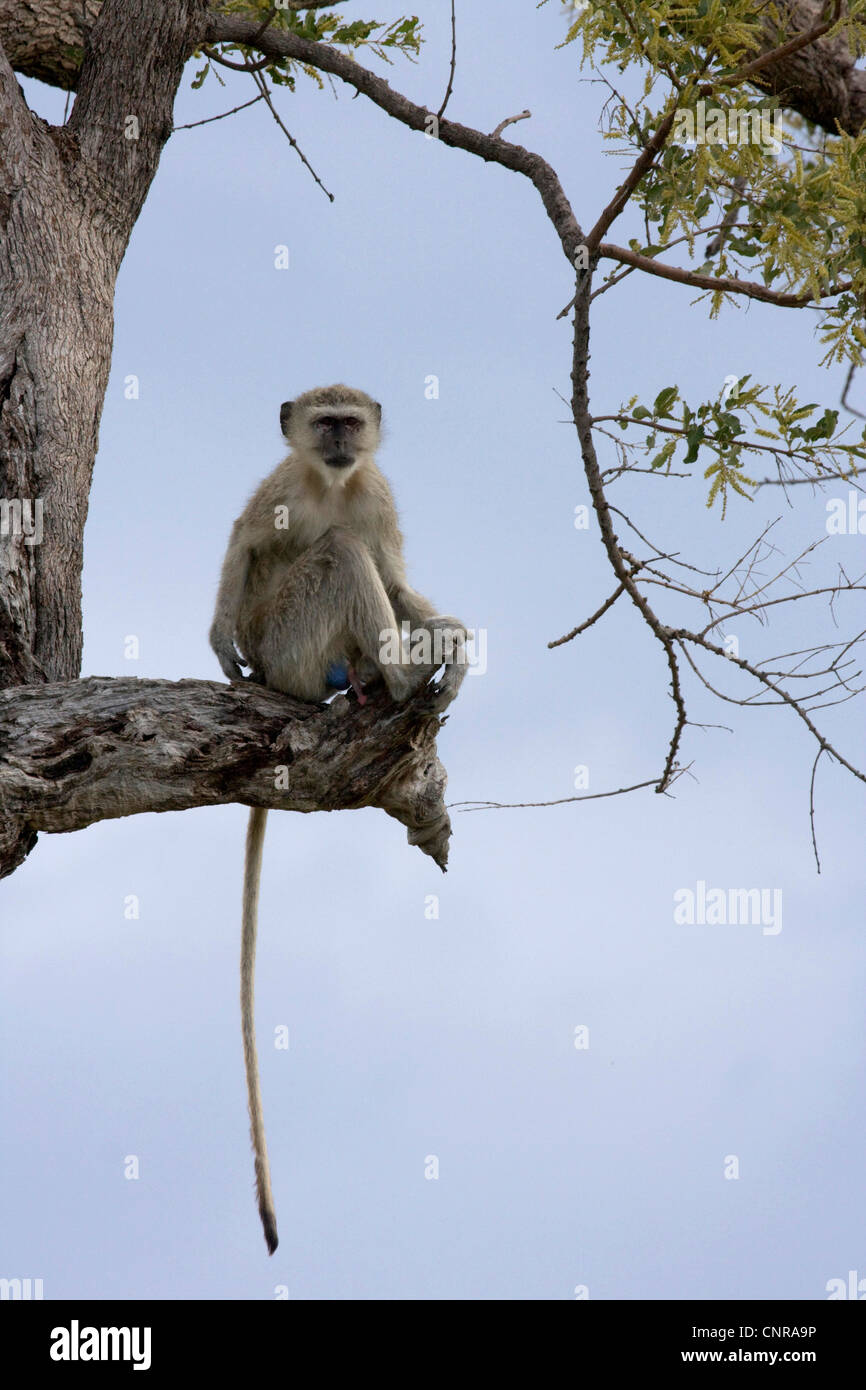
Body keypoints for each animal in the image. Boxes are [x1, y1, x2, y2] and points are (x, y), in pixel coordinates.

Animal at [208, 385, 466, 1253]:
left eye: (350, 423)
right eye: (326, 423)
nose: (341, 441)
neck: (329, 482)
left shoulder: (374, 494)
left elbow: (393, 573)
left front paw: (444, 626)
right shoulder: (283, 486)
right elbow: (245, 540)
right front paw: (216, 641)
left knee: (359, 561)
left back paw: (393, 673)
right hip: (288, 646)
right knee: (340, 556)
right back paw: (399, 674)